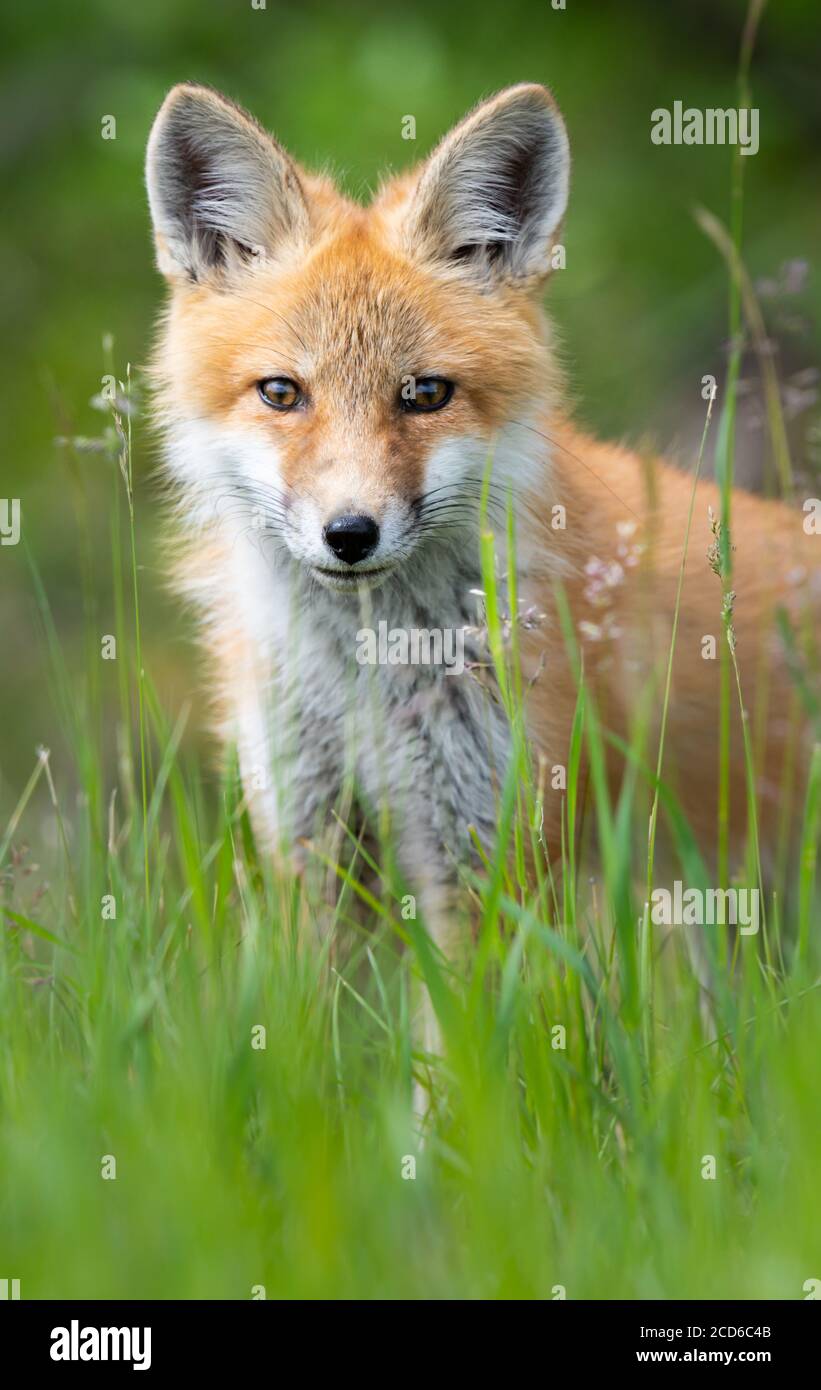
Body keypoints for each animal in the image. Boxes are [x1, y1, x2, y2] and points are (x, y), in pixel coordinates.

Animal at [145, 82, 819, 1084]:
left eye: (424, 394)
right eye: (281, 393)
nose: (350, 534)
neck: (369, 680)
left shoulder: (483, 858)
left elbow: (458, 1079)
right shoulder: (309, 846)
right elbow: (304, 1062)